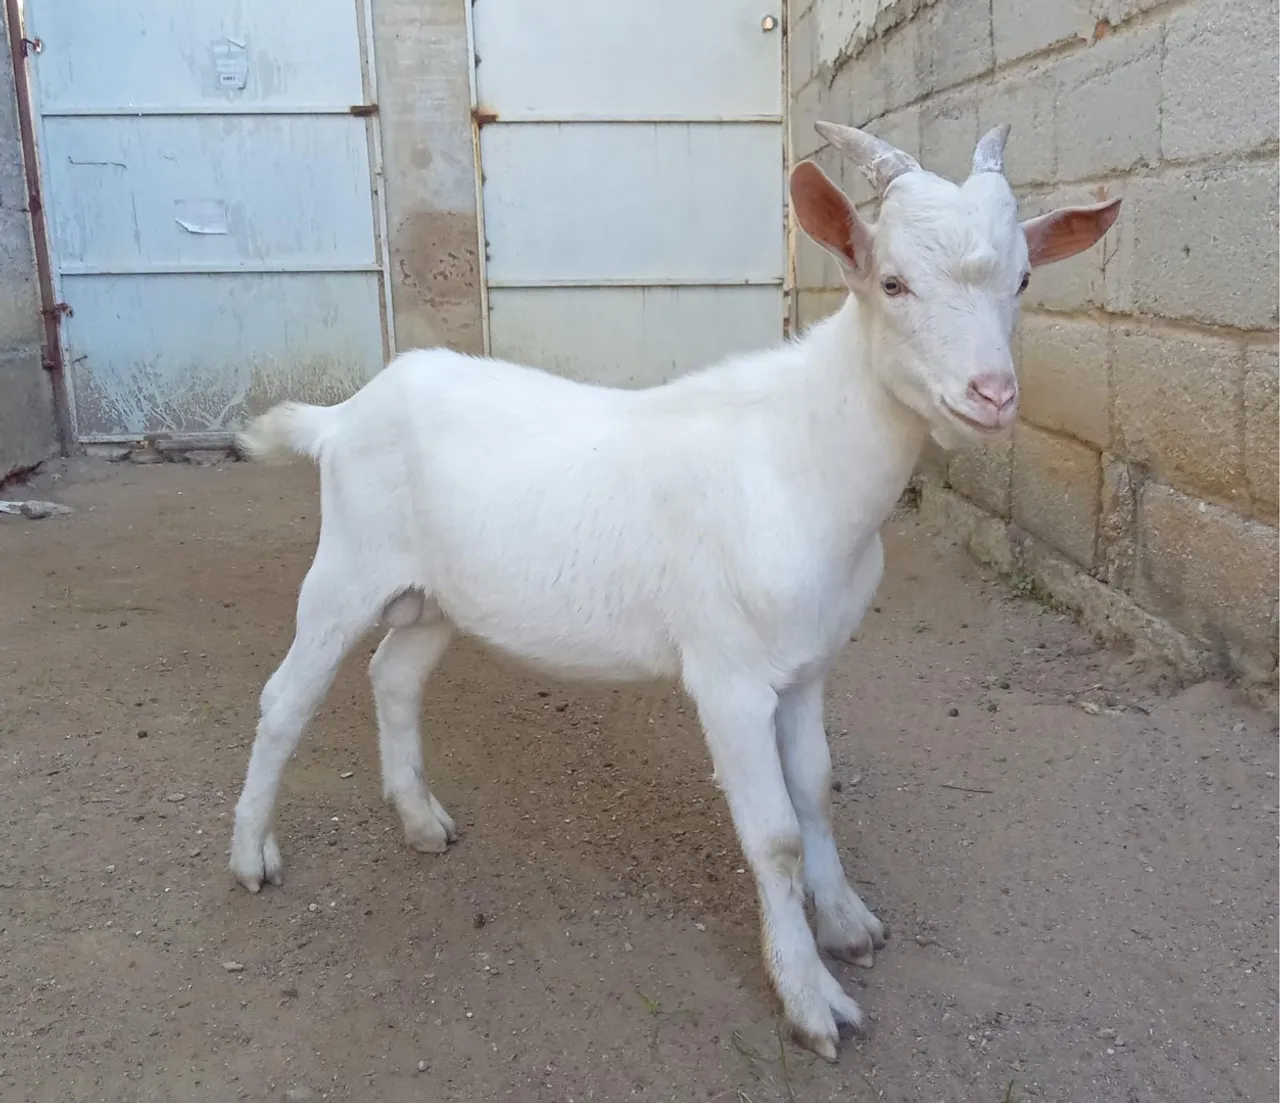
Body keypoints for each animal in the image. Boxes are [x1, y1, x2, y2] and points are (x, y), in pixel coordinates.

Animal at [227, 121, 1120, 1060]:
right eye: (892, 281)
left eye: (1023, 279)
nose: (992, 394)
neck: (799, 460)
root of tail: (342, 415)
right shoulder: (728, 675)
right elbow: (774, 835)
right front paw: (811, 998)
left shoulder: (807, 665)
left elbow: (816, 790)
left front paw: (848, 922)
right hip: (347, 565)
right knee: (287, 695)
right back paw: (253, 856)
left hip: (438, 593)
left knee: (394, 675)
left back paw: (421, 820)